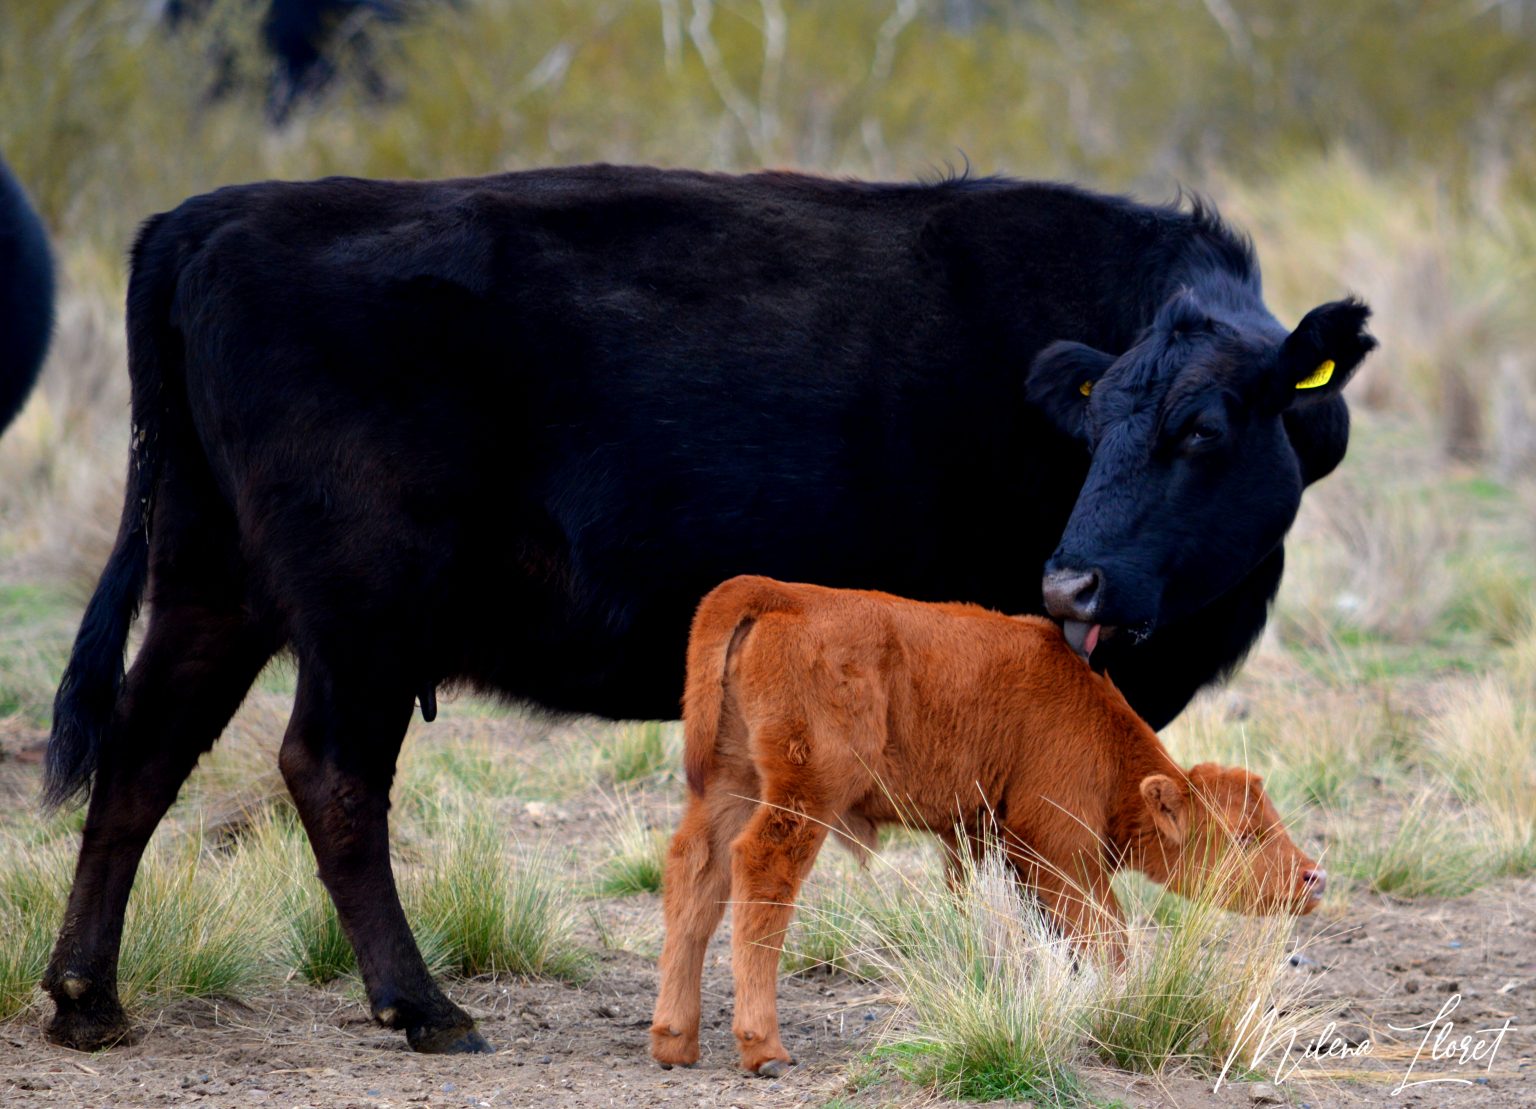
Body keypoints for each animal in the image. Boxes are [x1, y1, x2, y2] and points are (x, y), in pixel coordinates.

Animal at [650, 575, 1324, 1077]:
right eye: (1244, 835)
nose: (1313, 878)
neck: (1101, 737)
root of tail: (777, 592)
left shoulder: (979, 841)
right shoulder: (1058, 851)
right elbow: (1107, 935)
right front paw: (1118, 1008)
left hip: (732, 783)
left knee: (695, 869)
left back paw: (675, 1041)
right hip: (804, 796)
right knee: (762, 871)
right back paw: (763, 1048)